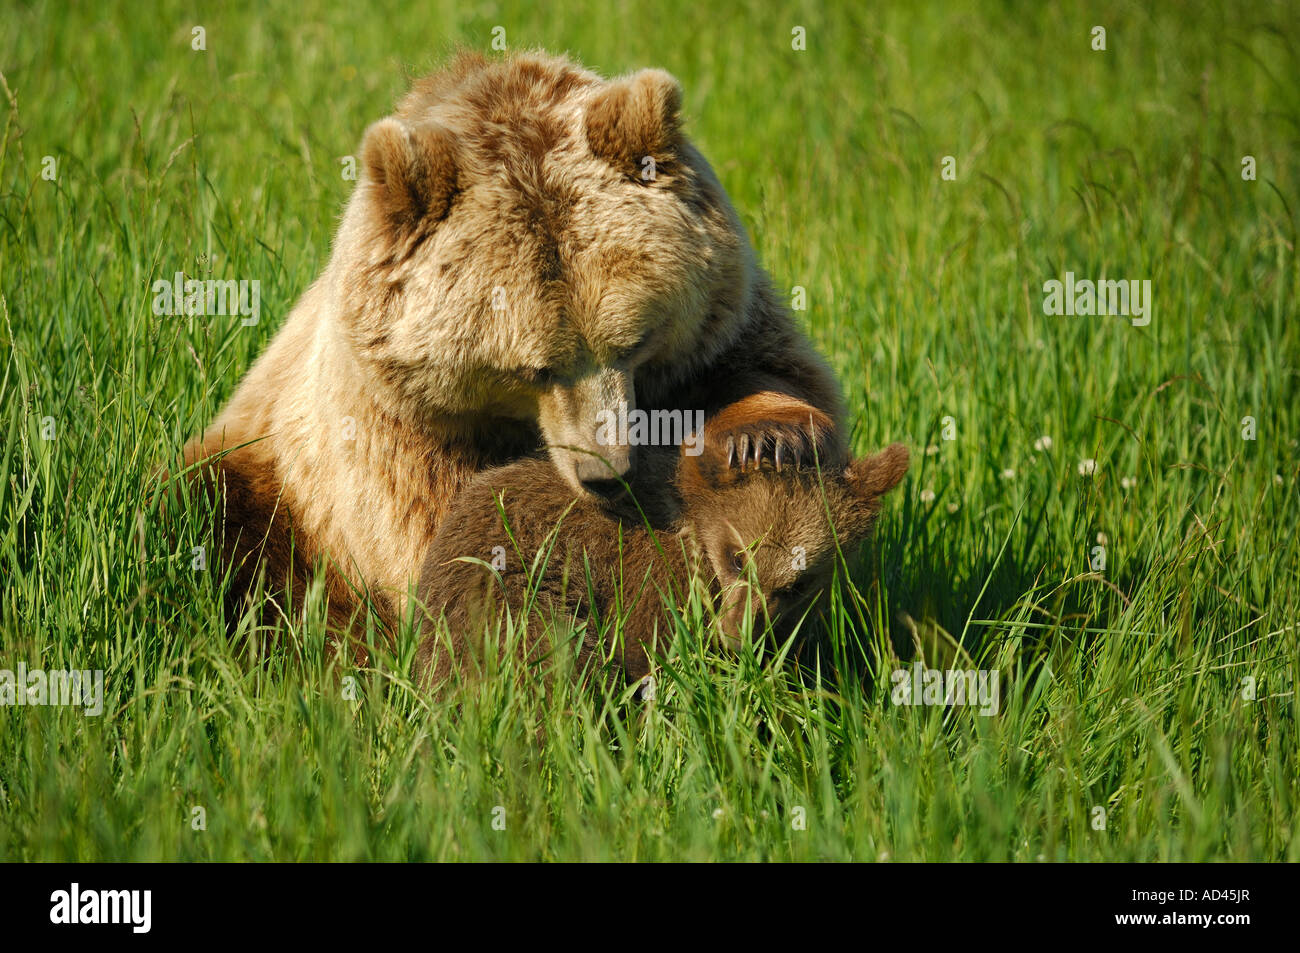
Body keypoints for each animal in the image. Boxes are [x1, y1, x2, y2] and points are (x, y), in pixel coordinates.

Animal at [188, 52, 847, 631]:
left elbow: (775, 375)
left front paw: (765, 439)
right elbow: (453, 542)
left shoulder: (721, 325)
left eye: (634, 342)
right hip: (265, 486)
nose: (607, 473)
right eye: (534, 369)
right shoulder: (400, 432)